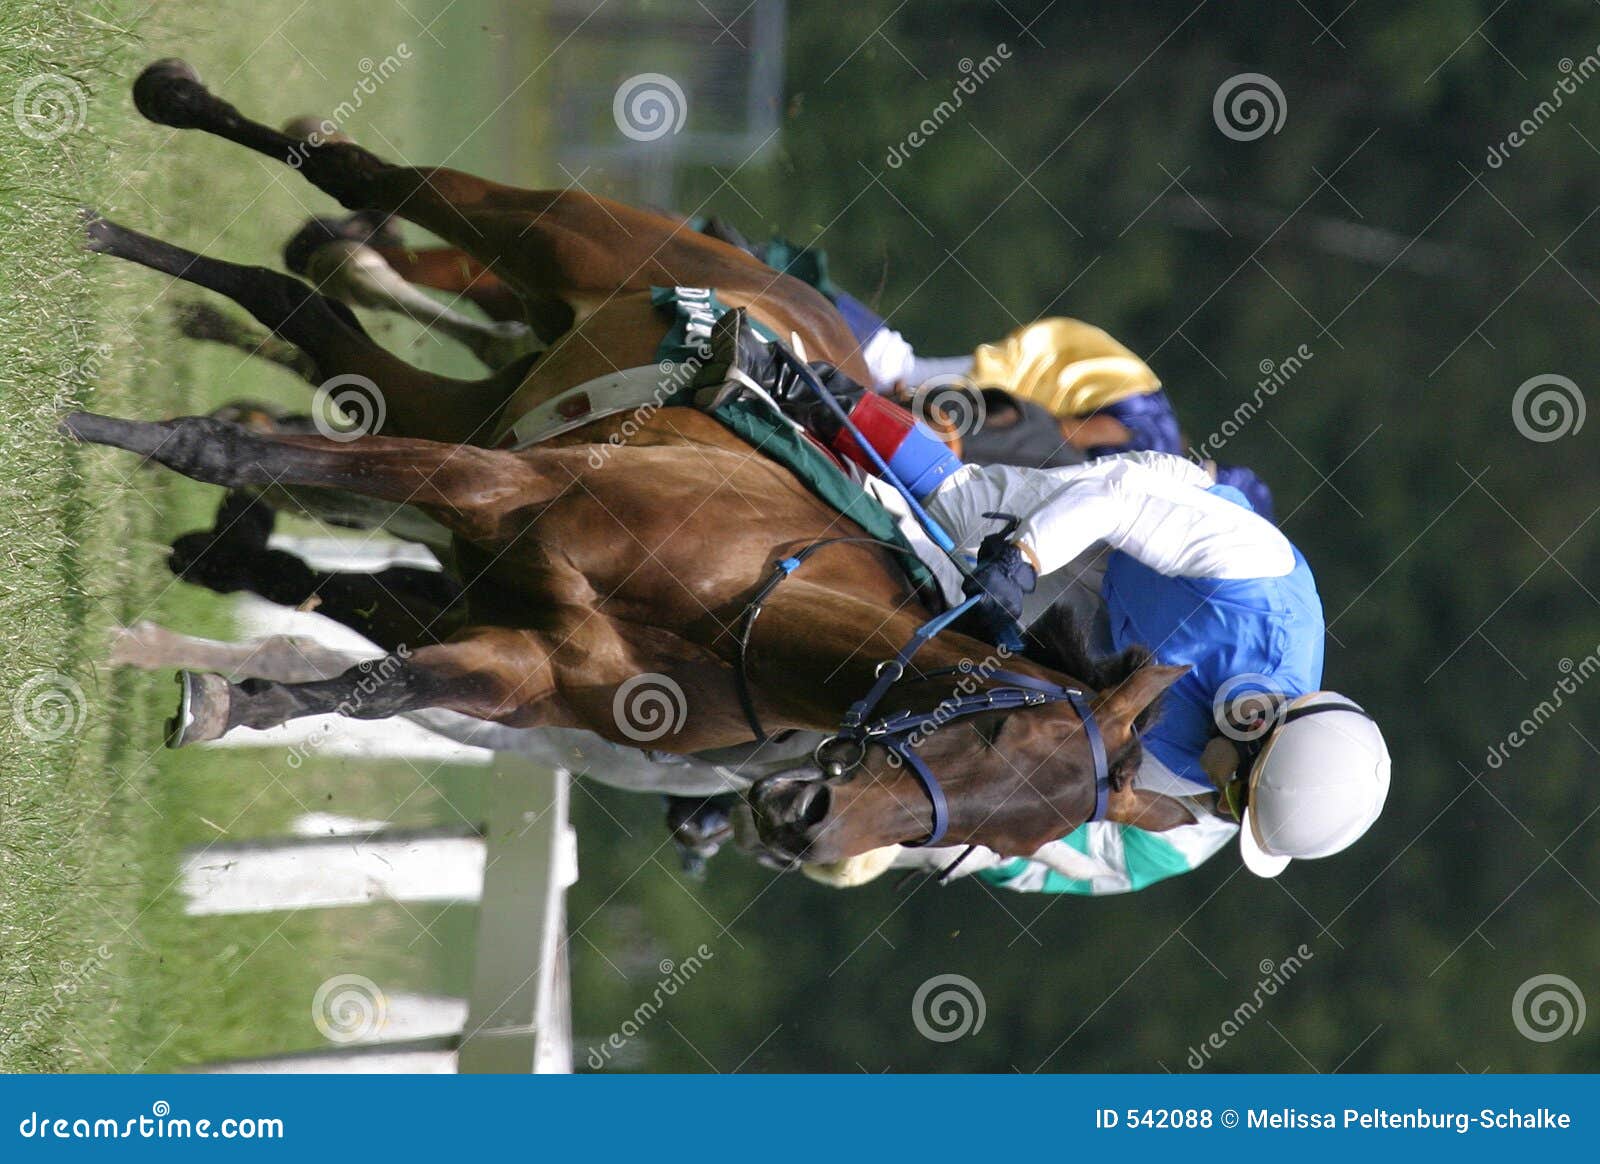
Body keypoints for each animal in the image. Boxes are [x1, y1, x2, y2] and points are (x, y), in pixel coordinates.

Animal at [67, 59, 1195, 865]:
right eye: (997, 738)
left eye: (1006, 837)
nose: (803, 826)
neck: (738, 611)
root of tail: (792, 290)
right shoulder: (503, 484)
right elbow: (234, 450)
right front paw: (112, 434)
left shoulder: (518, 658)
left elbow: (373, 691)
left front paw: (232, 700)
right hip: (543, 236)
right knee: (359, 179)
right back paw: (163, 110)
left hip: (490, 399)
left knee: (306, 307)